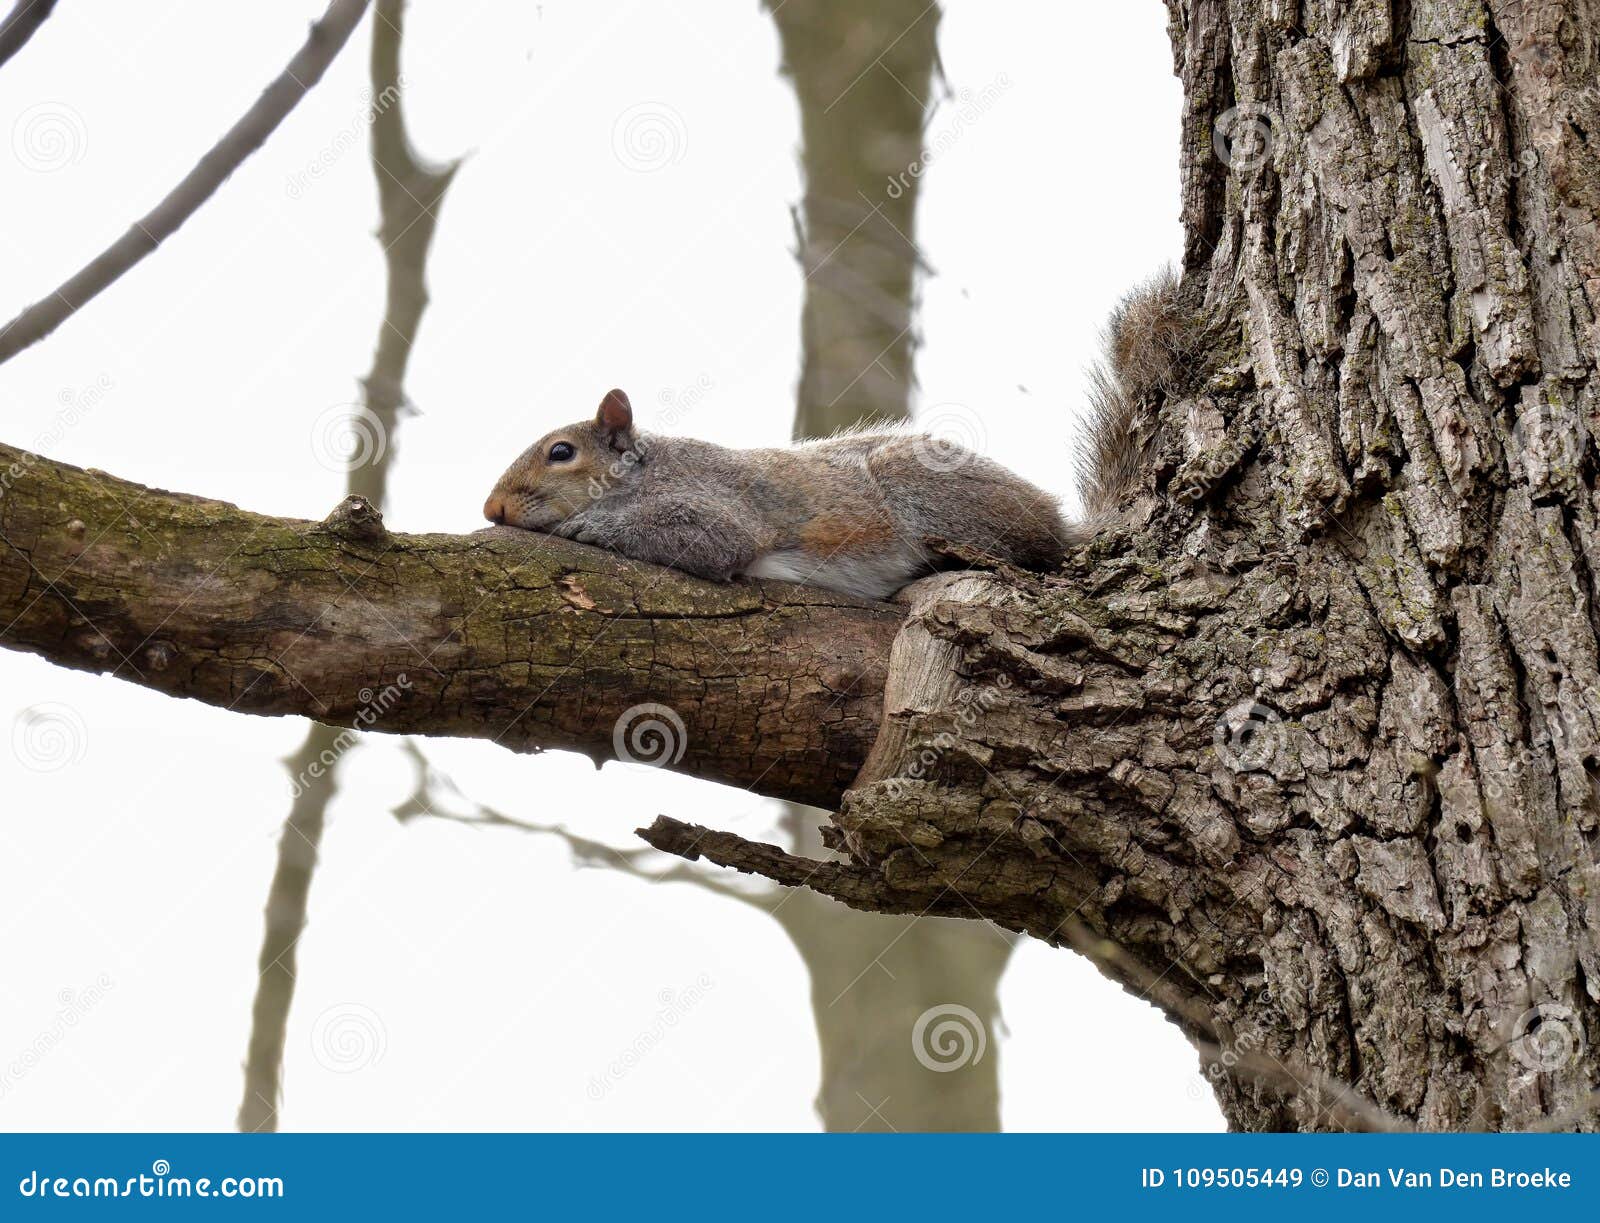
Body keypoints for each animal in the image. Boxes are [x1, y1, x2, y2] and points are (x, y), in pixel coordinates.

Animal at [483, 270, 1188, 601]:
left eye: (560, 453)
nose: (492, 508)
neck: (648, 471)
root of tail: (1059, 519)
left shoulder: (716, 505)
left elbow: (712, 540)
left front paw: (588, 526)